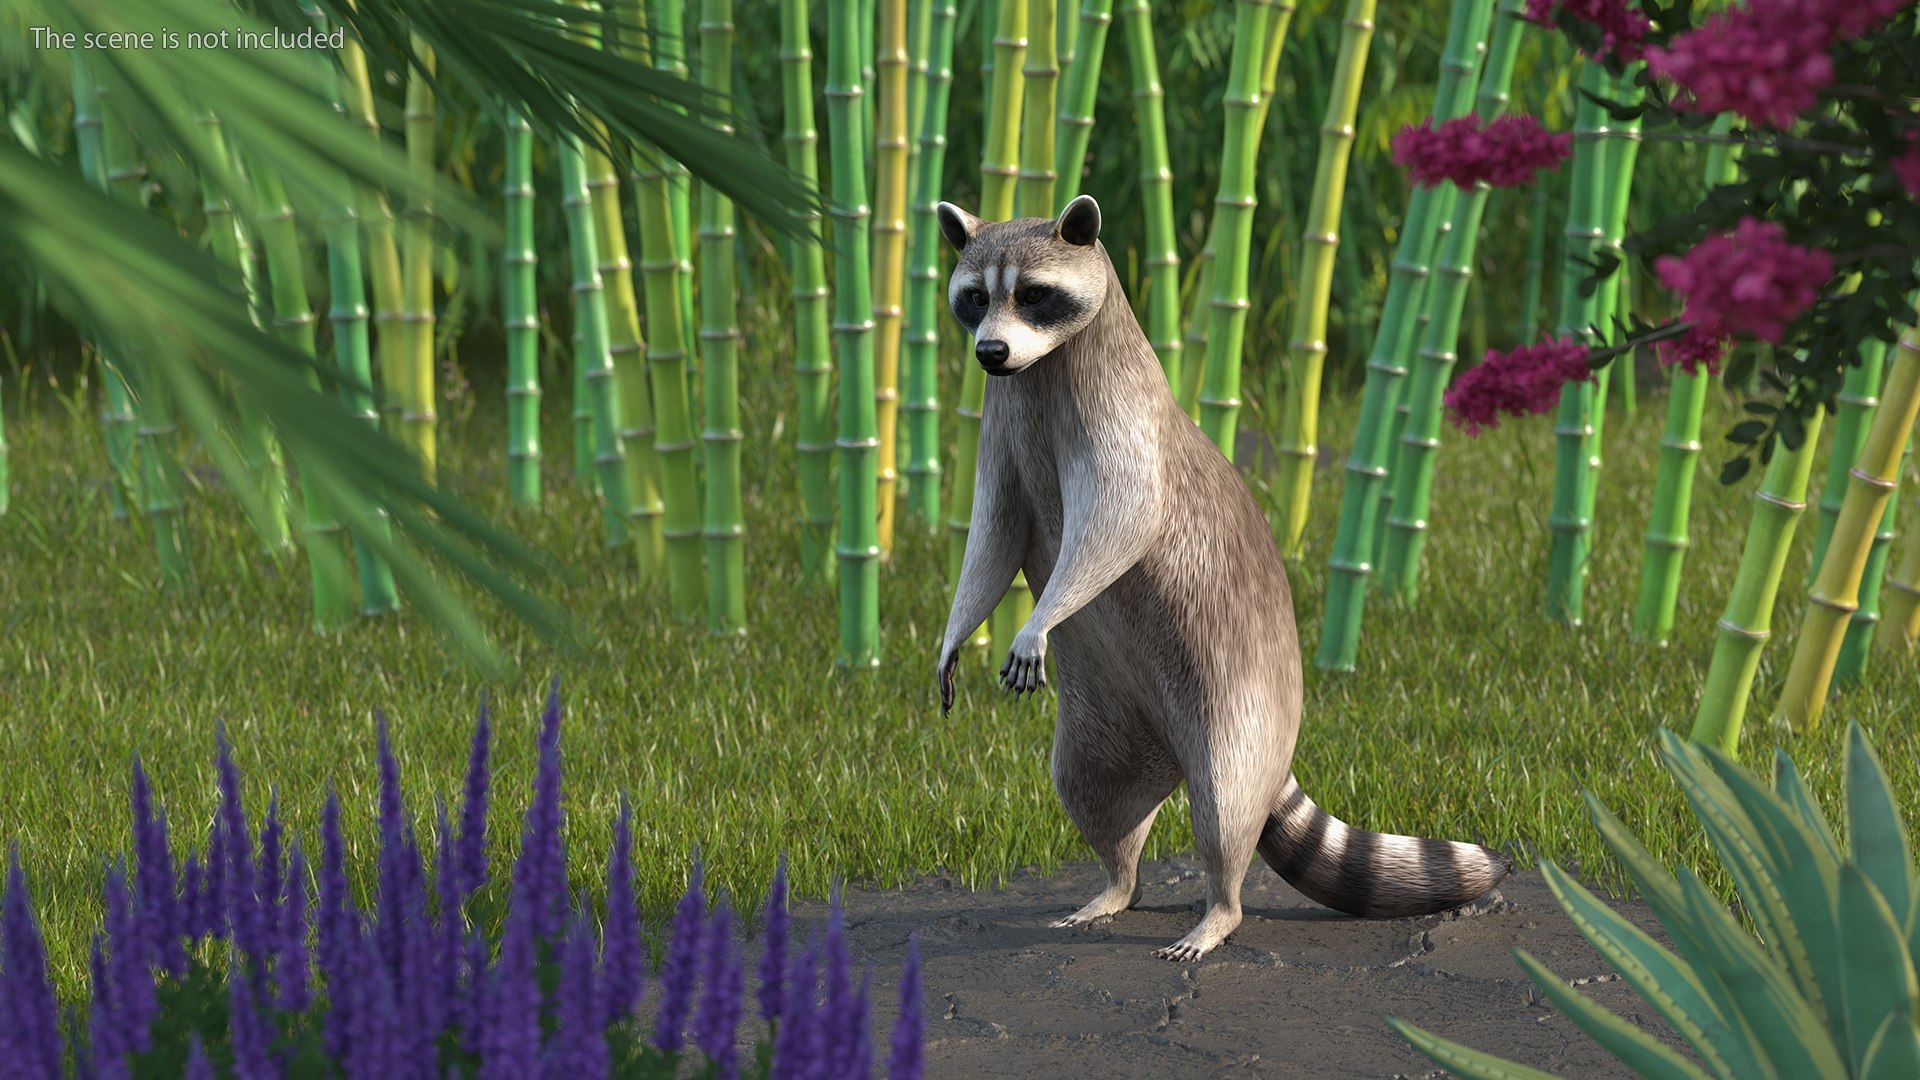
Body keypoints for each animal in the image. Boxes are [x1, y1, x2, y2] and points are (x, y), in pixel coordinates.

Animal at [933, 194, 1511, 961]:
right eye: (975, 298)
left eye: (1032, 295)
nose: (990, 353)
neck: (1041, 369)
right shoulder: (1003, 425)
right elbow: (992, 543)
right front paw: (956, 632)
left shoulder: (1122, 416)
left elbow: (1122, 519)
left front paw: (1041, 617)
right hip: (1107, 720)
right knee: (1092, 789)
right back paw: (1118, 884)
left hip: (1239, 696)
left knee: (1227, 800)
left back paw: (1221, 909)